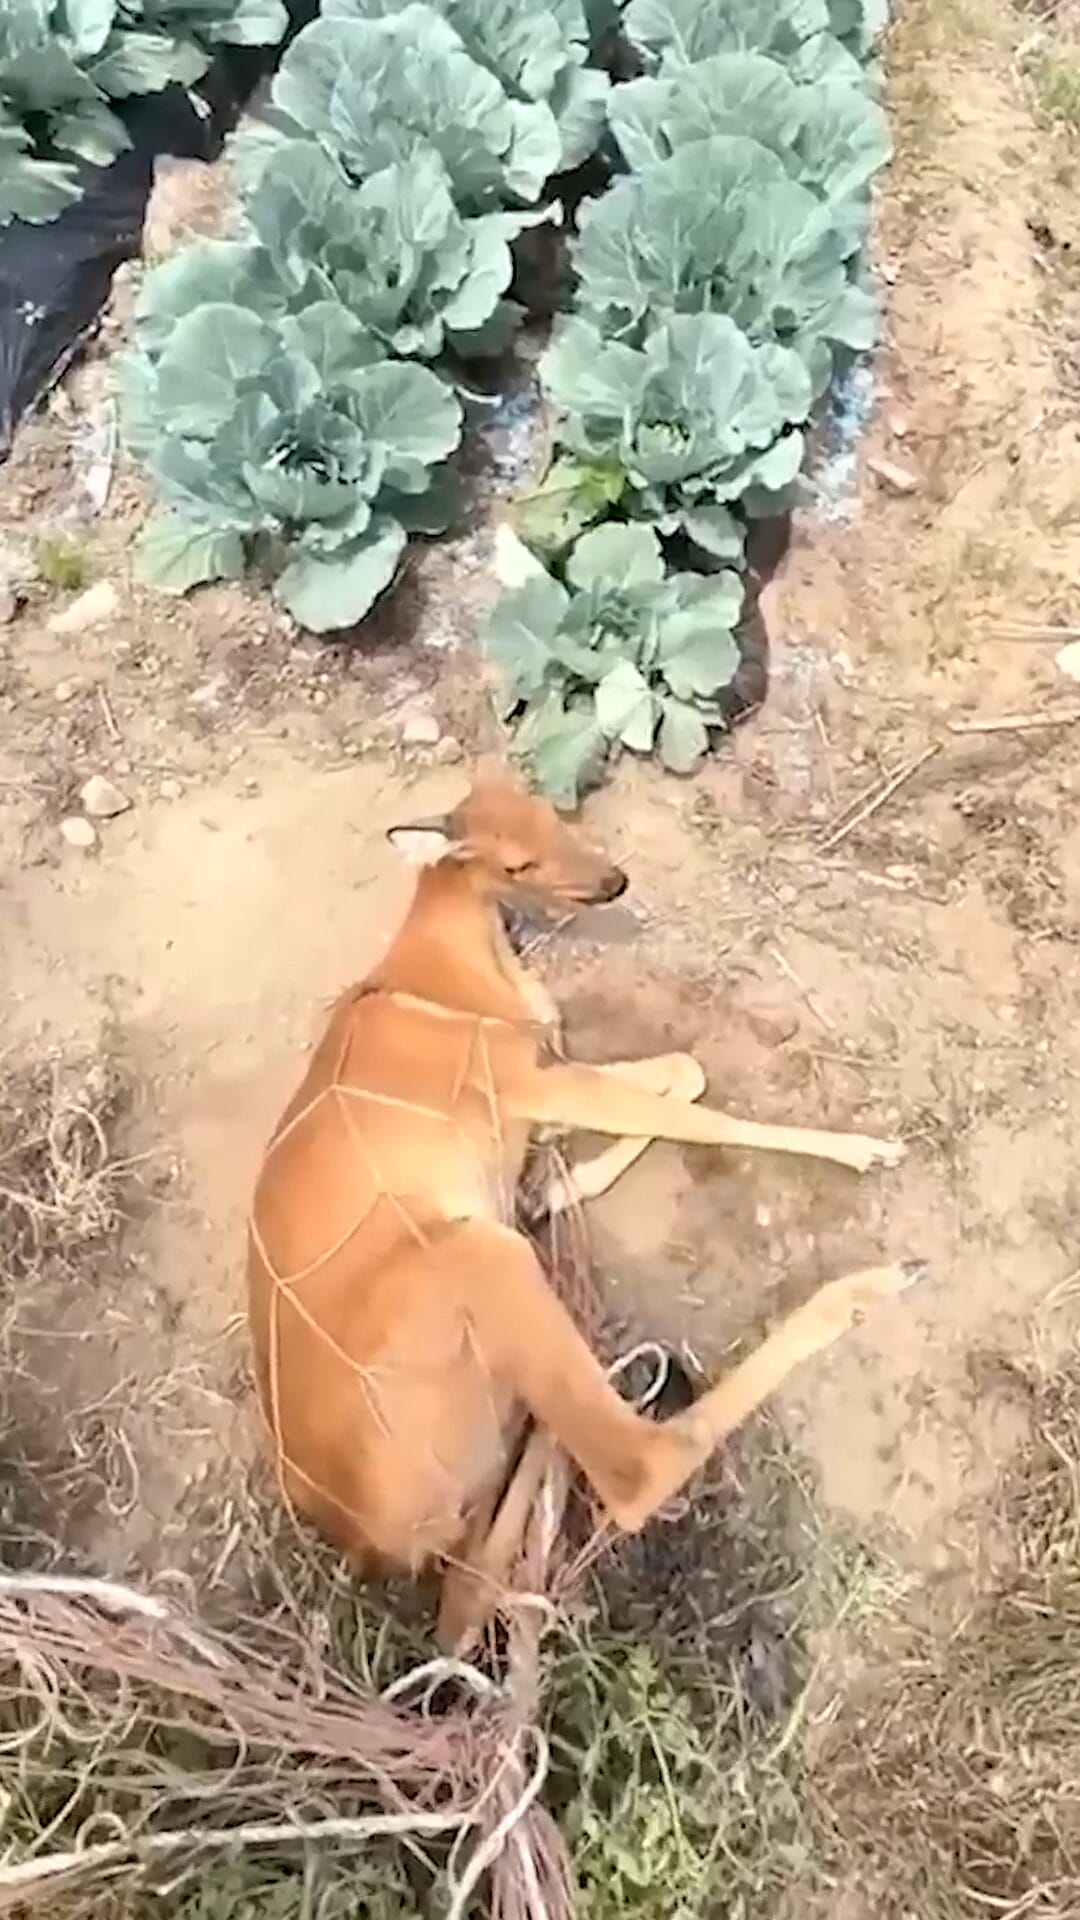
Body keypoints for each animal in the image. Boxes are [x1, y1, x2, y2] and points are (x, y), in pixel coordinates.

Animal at [247, 767, 918, 1651]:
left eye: (549, 809)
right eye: (516, 864)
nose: (613, 882)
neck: (450, 972)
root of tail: (372, 1538)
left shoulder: (539, 1079)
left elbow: (682, 1074)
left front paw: (560, 1187)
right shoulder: (522, 1081)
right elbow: (700, 1109)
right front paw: (864, 1149)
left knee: (472, 1602)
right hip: (478, 1258)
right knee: (638, 1466)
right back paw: (865, 1287)